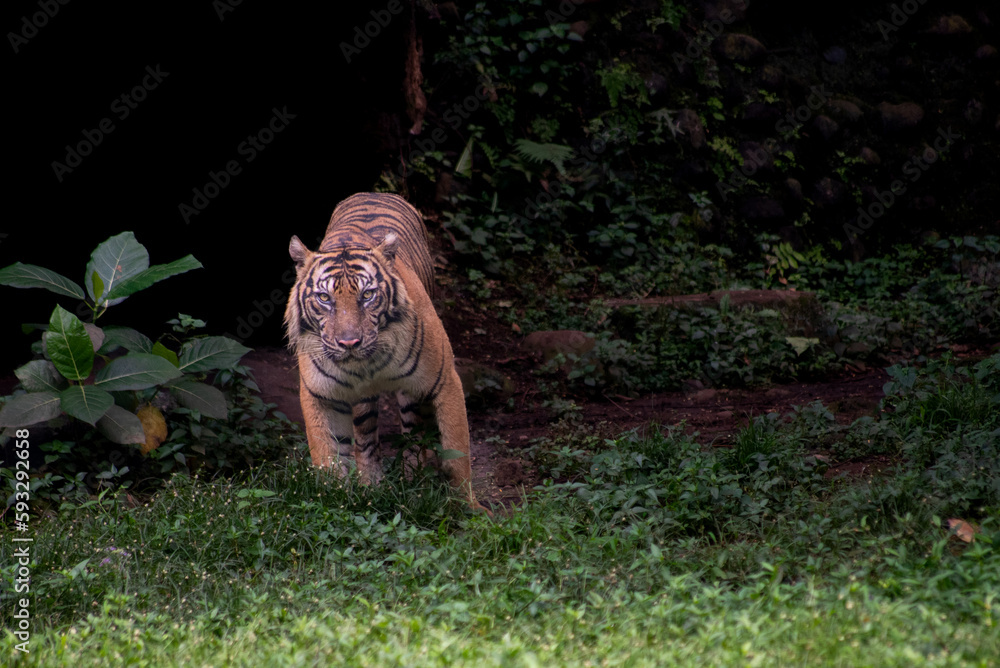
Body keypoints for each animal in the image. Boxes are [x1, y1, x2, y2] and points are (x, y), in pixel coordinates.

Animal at [284, 192, 486, 512]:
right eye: (324, 298)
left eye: (367, 295)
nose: (349, 343)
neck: (365, 368)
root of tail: (374, 192)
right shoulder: (321, 395)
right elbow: (327, 456)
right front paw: (331, 502)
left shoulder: (445, 381)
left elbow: (457, 452)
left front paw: (469, 508)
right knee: (366, 440)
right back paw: (373, 486)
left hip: (411, 396)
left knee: (414, 434)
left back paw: (414, 484)